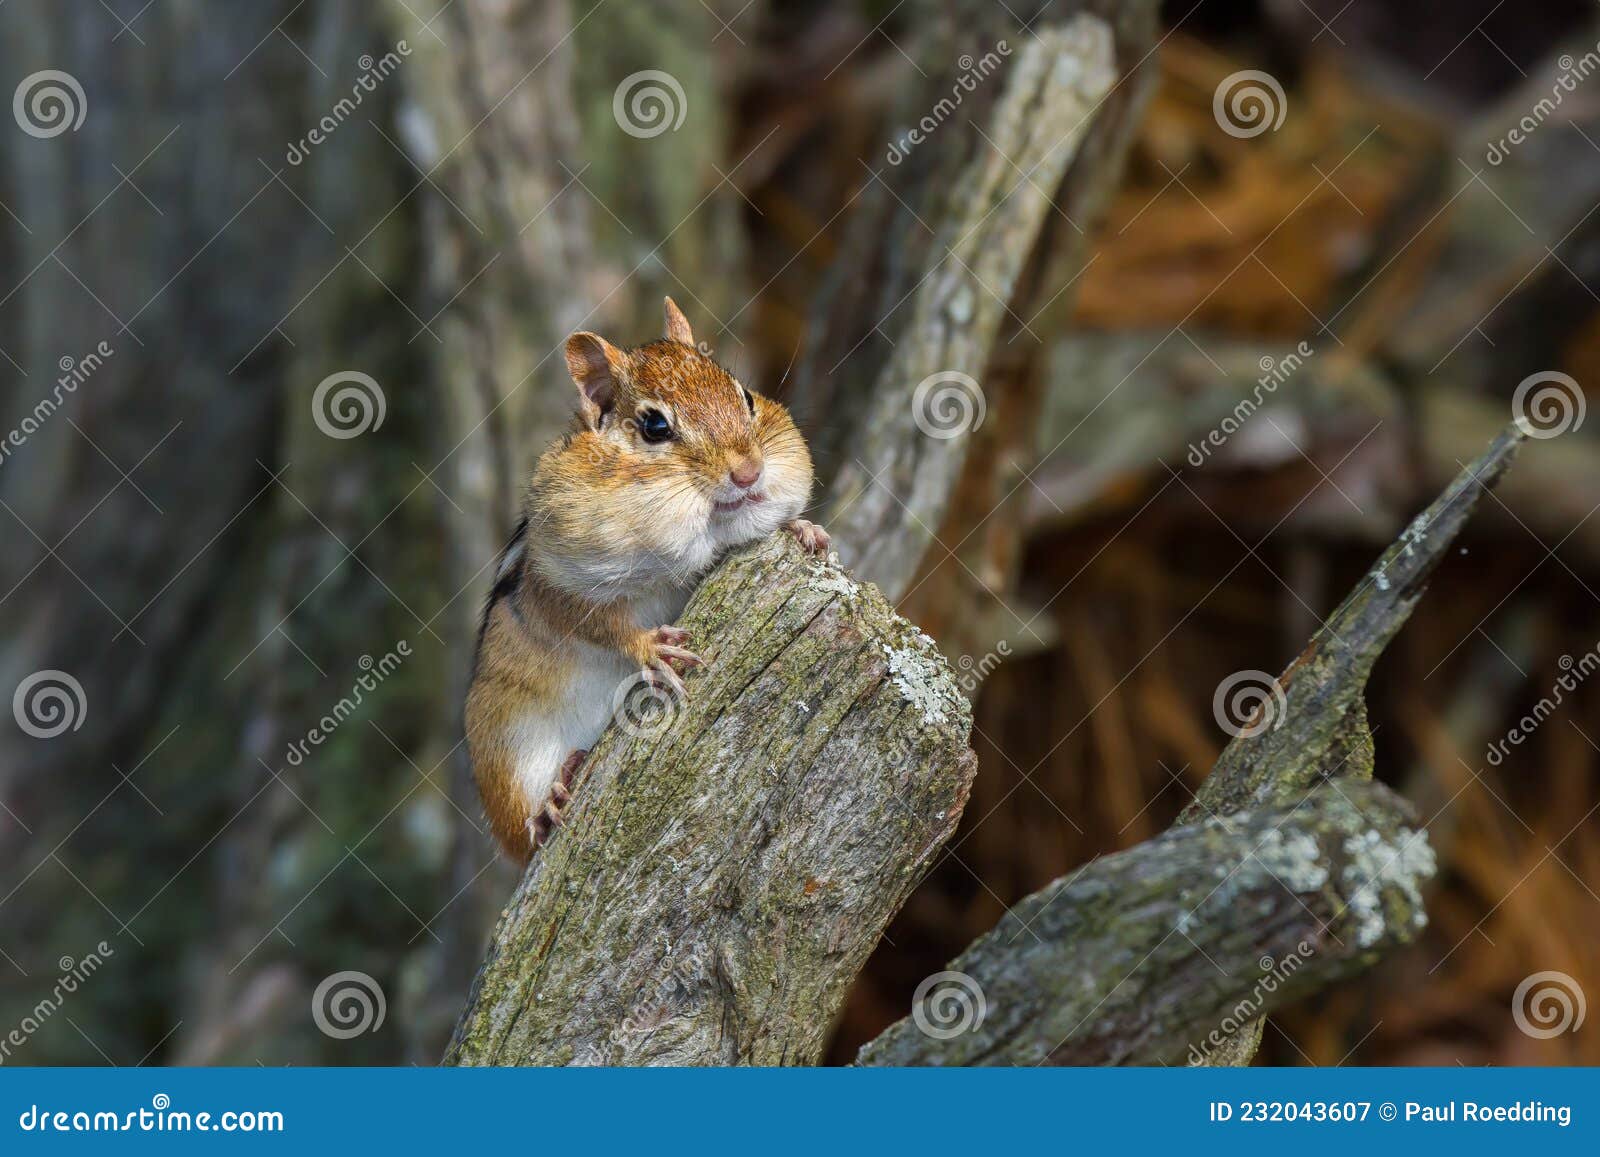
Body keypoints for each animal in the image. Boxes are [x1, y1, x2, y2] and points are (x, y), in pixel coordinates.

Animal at [466, 298, 831, 864]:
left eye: (746, 396)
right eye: (655, 425)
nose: (749, 472)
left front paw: (804, 529)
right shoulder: (556, 580)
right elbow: (592, 622)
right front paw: (651, 649)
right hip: (506, 748)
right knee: (523, 827)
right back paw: (550, 800)